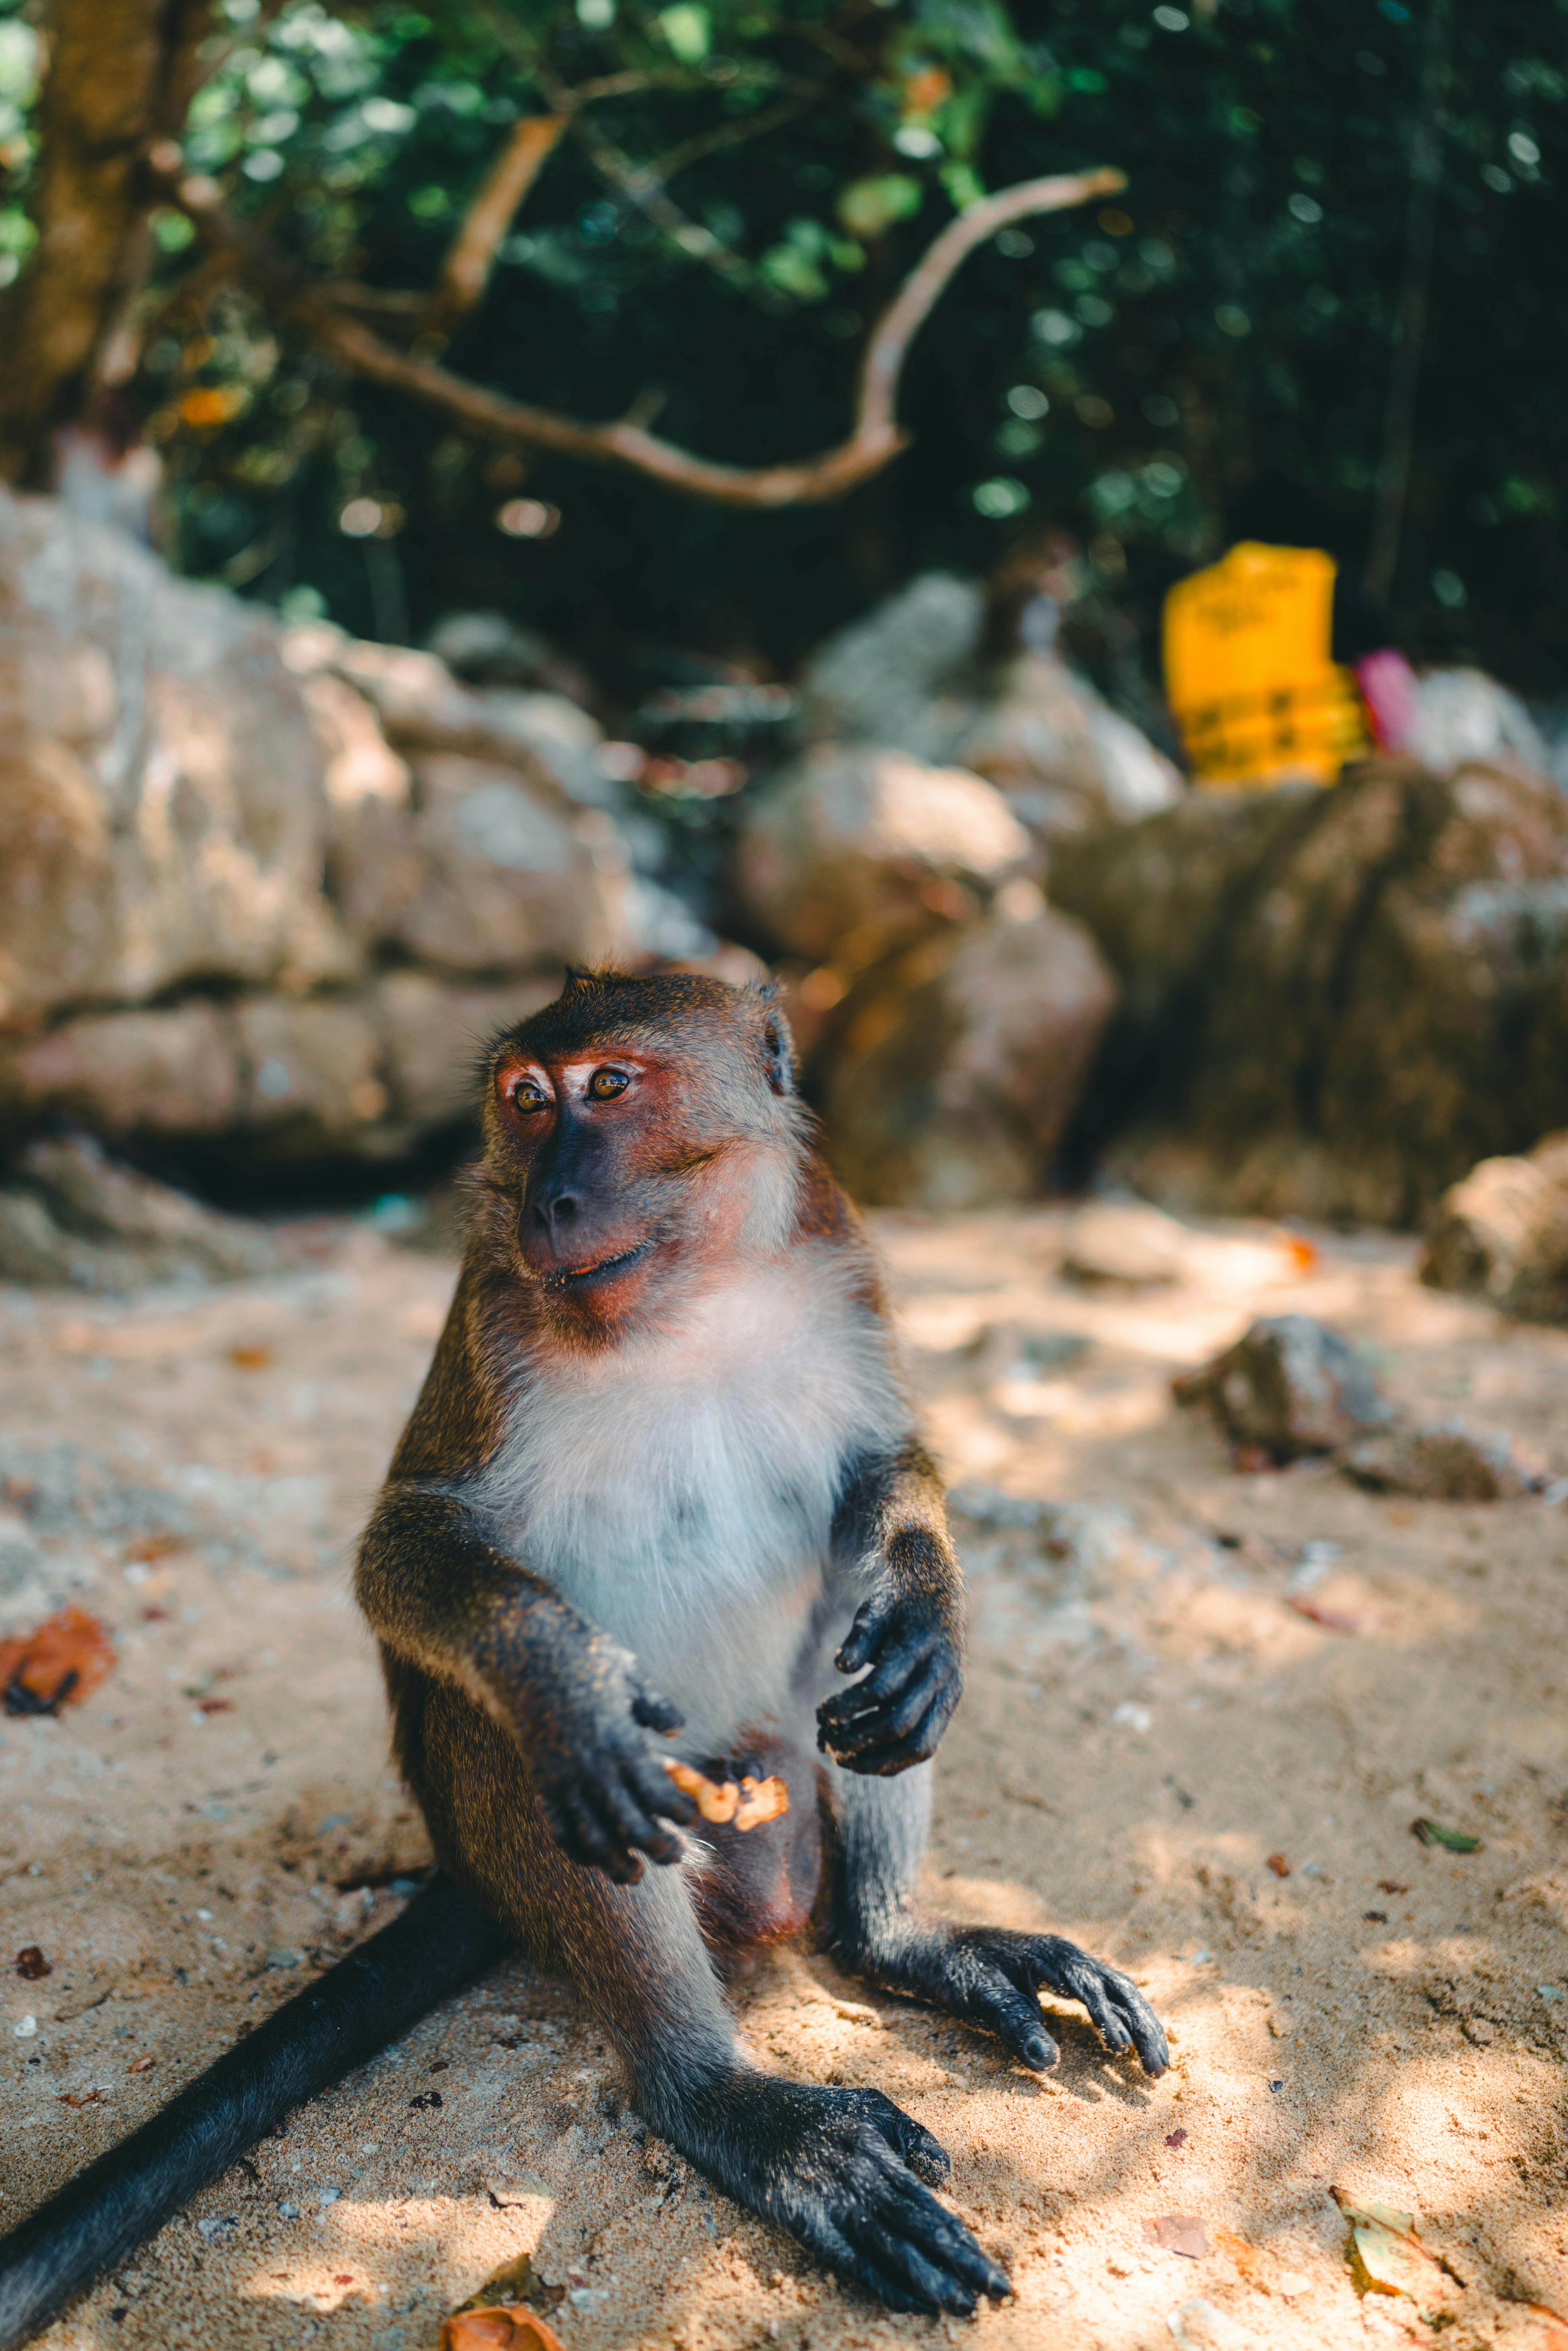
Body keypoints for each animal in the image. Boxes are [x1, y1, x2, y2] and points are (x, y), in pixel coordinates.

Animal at [0, 969, 1166, 2347]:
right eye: (526, 1098)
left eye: (609, 1087)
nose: (550, 1196)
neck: (687, 1306)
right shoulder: (491, 1321)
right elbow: (408, 1550)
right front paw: (569, 1683)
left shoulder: (840, 1265)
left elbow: (881, 1474)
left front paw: (925, 1601)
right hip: (529, 1829)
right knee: (523, 1751)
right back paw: (723, 2095)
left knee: (857, 1667)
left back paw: (898, 1935)